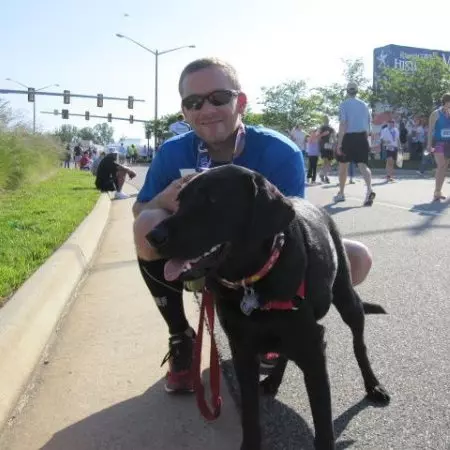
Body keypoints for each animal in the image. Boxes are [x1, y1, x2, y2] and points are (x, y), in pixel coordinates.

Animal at [149, 165, 390, 450]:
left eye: (212, 199)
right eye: (179, 200)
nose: (153, 236)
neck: (253, 280)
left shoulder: (313, 350)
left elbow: (323, 422)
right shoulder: (242, 350)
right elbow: (250, 414)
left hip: (346, 299)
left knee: (359, 345)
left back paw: (373, 385)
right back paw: (274, 380)